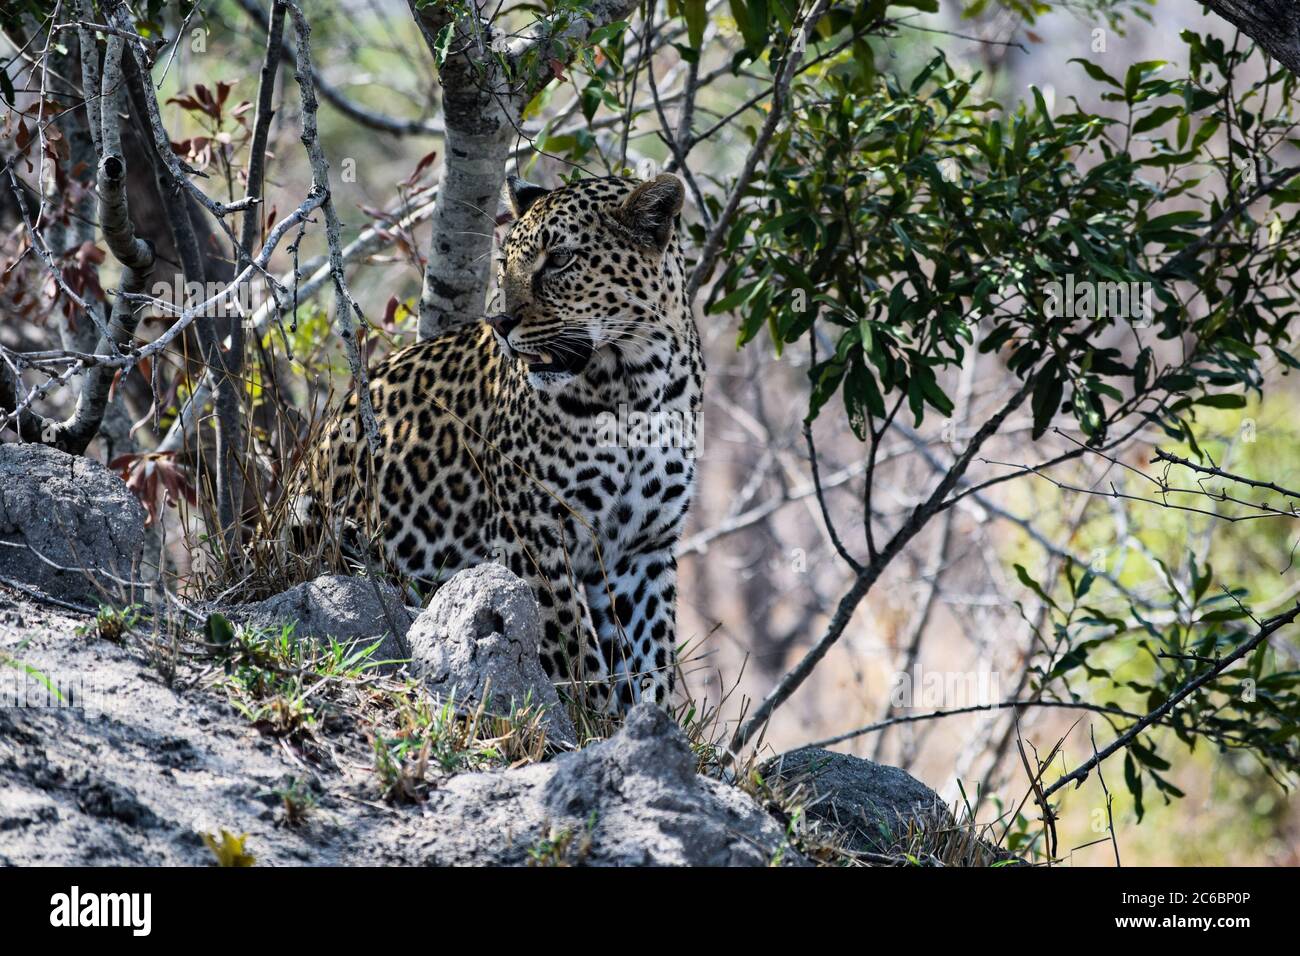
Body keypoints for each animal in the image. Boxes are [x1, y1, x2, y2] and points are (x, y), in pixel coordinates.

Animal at [298, 173, 702, 713]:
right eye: (505, 263)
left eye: (561, 259)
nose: (501, 324)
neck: (634, 383)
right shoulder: (531, 525)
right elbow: (573, 644)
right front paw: (591, 718)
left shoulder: (645, 545)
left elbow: (649, 655)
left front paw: (647, 721)